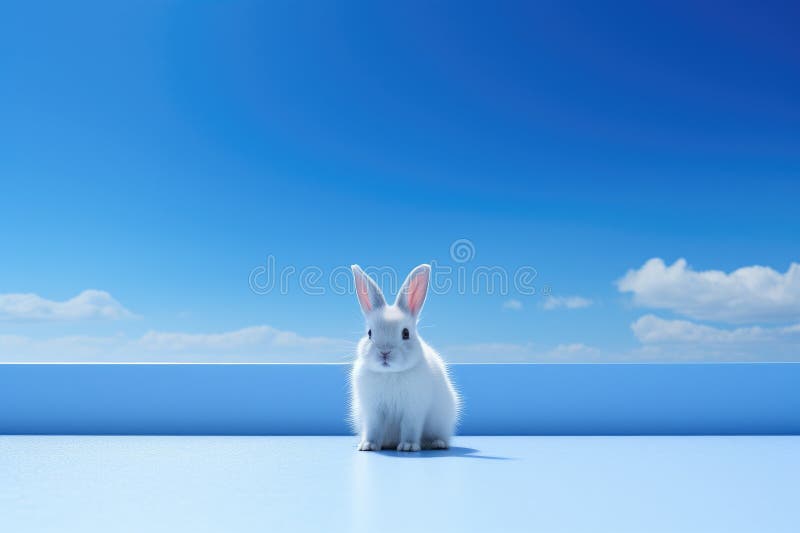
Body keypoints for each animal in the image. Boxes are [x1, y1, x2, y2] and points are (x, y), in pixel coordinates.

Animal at [350, 263, 460, 452]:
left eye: (406, 333)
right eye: (370, 333)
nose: (385, 352)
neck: (390, 373)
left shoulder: (413, 410)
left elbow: (410, 428)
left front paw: (408, 446)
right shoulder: (373, 411)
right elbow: (373, 429)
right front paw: (368, 445)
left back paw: (437, 443)